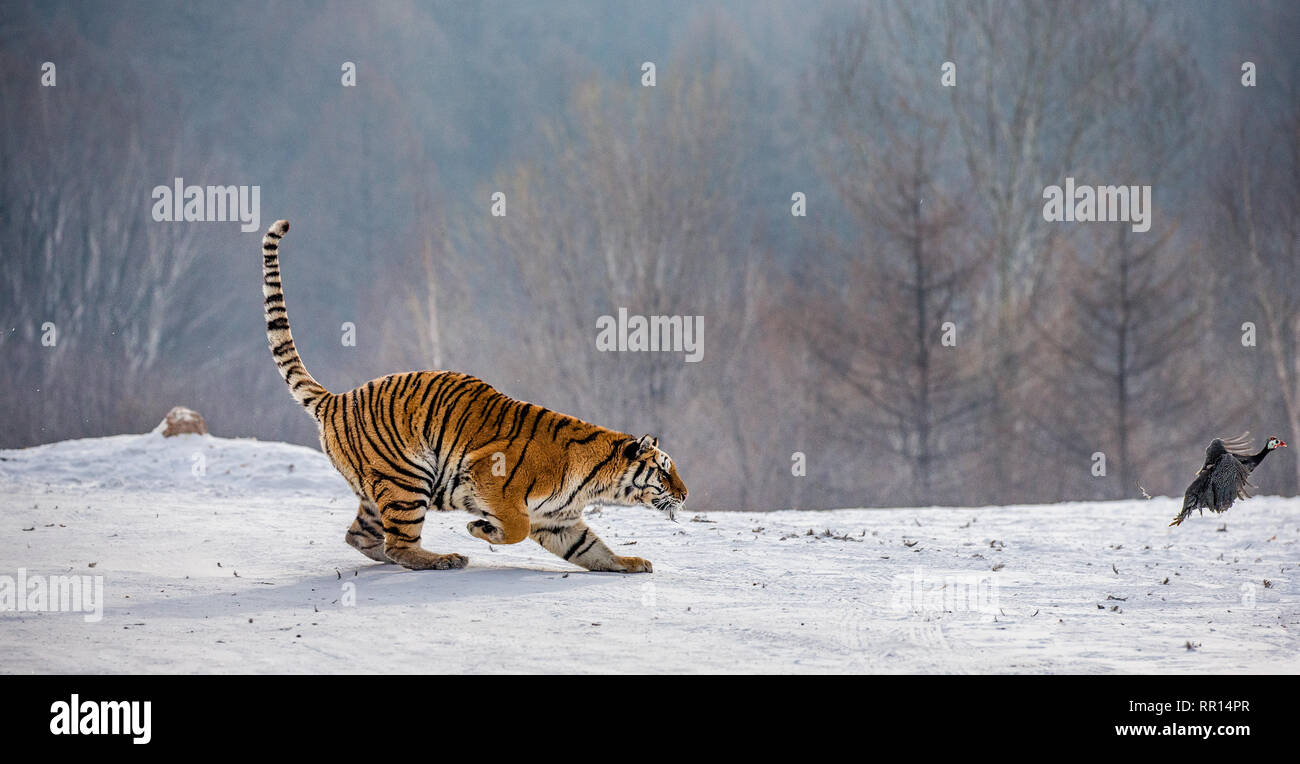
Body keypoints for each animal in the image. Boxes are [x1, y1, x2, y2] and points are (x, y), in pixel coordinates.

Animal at [261, 219, 686, 573]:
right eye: (664, 469)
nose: (685, 494)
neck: (596, 480)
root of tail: (337, 398)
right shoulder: (490, 476)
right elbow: (516, 526)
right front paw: (479, 528)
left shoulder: (558, 520)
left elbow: (592, 548)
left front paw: (630, 563)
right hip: (408, 479)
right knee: (400, 543)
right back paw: (443, 559)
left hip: (380, 488)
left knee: (363, 537)